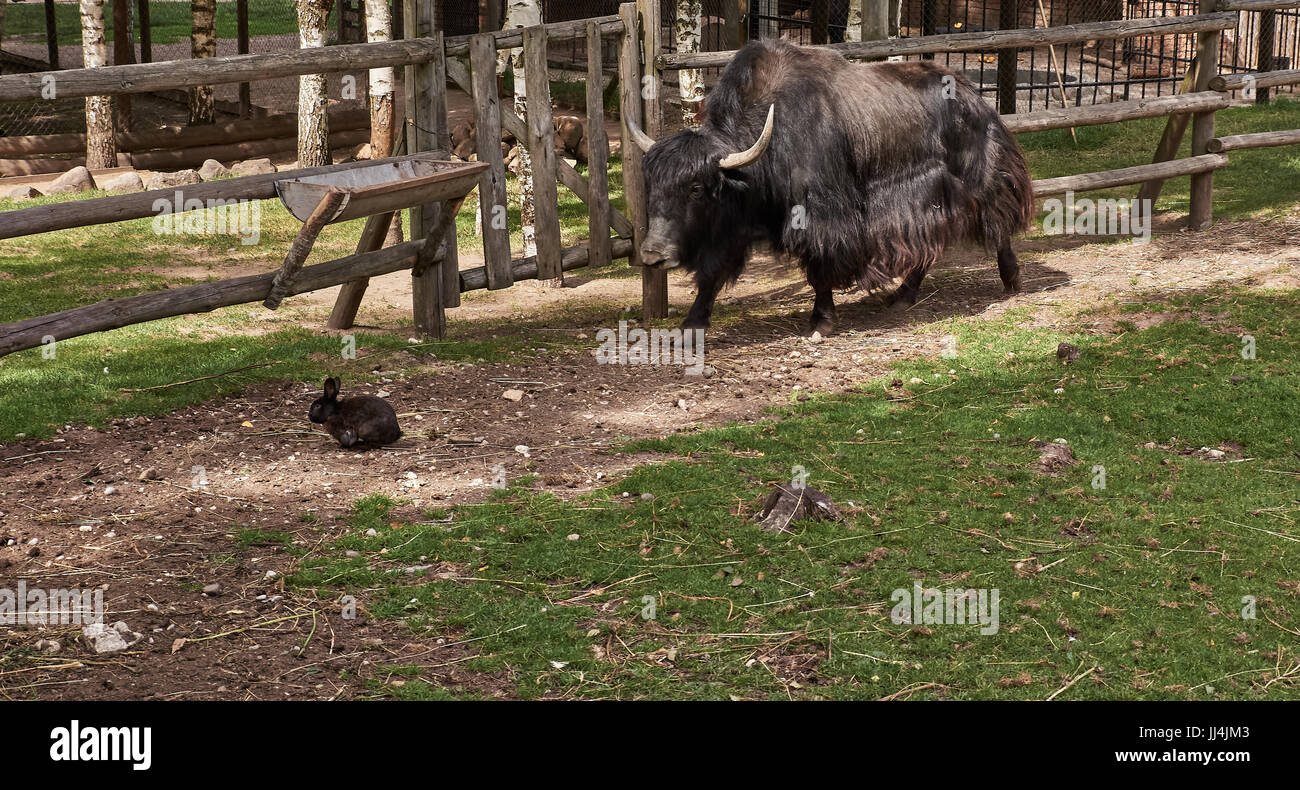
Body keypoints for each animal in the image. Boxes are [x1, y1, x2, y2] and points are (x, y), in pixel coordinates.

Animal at [627, 38, 1035, 335]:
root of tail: (974, 95)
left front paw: (821, 321)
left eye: (696, 188)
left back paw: (1011, 280)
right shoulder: (734, 223)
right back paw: (902, 297)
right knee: (930, 245)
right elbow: (712, 271)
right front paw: (692, 322)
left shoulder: (821, 213)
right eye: (653, 186)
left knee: (996, 224)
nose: (652, 255)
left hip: (977, 180)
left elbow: (820, 263)